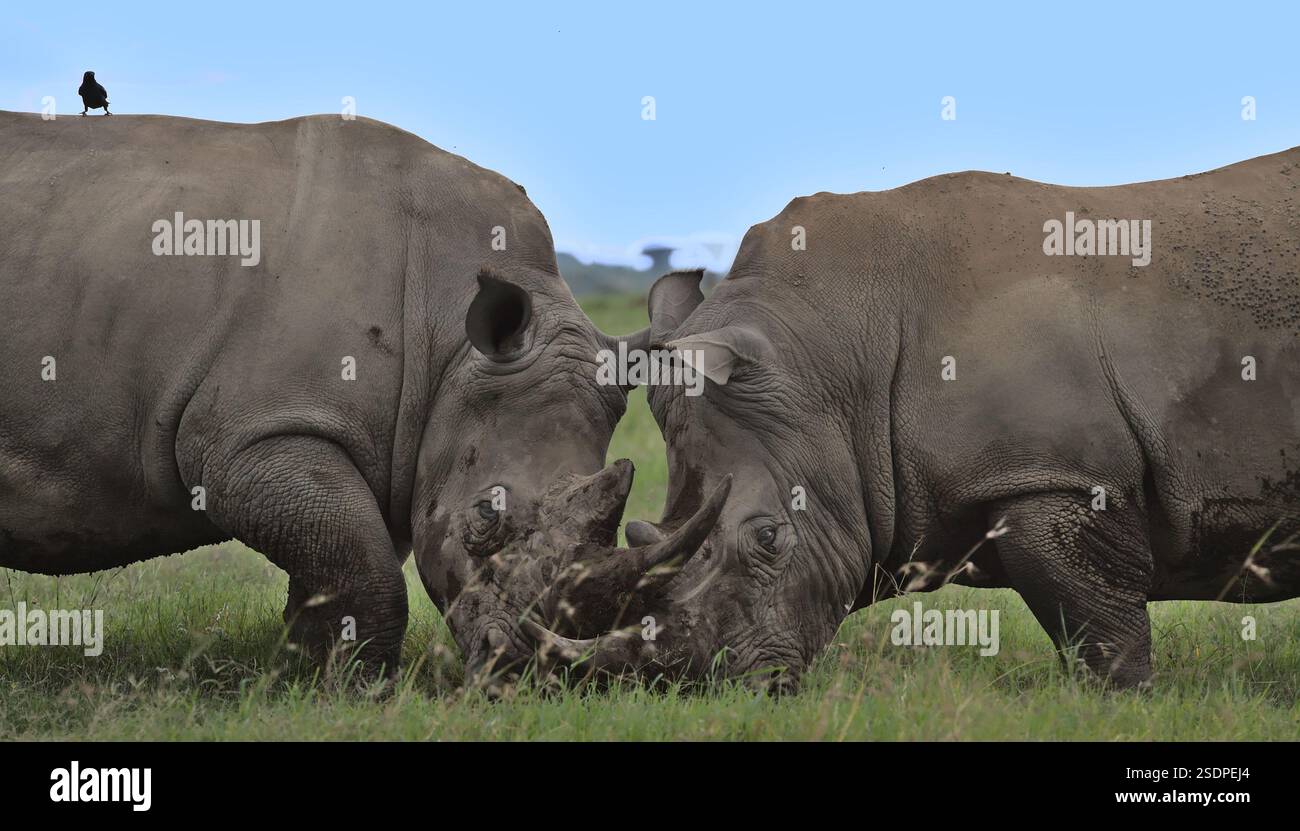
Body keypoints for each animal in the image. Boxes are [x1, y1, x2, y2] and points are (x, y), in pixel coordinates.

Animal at [0, 110, 648, 679]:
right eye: (486, 516)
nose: (525, 669)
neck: (451, 343)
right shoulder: (256, 437)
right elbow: (370, 574)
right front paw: (358, 688)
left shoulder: (394, 450)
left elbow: (343, 565)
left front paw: (304, 670)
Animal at [527, 146, 1300, 691]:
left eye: (770, 538)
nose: (708, 686)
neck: (833, 362)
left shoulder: (1054, 474)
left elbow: (1100, 628)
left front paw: (1127, 706)